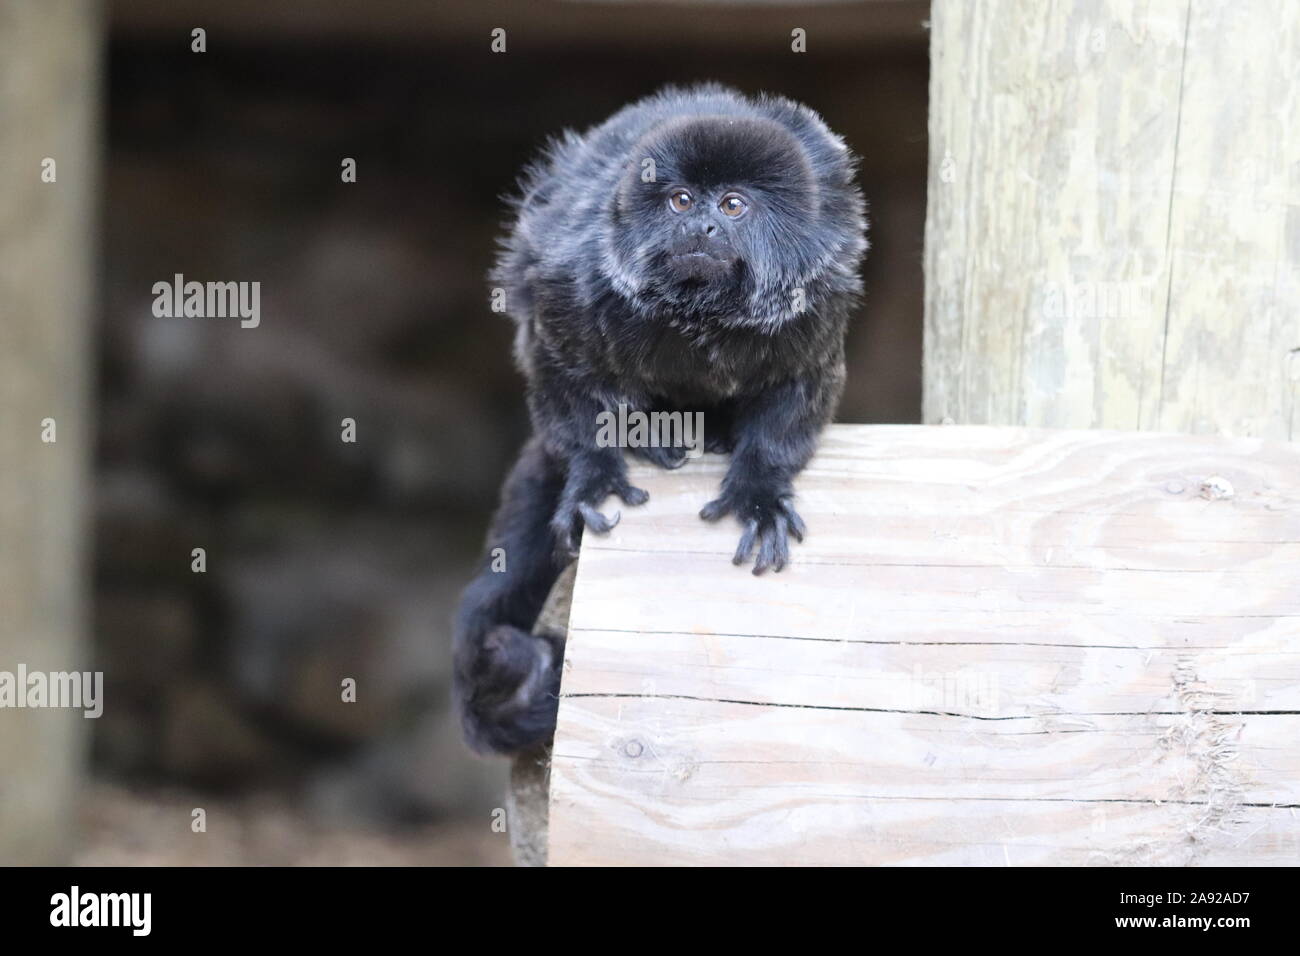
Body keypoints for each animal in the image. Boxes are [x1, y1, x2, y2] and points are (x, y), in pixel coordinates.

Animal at [453, 84, 868, 755]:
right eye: (680, 201)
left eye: (732, 206)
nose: (699, 226)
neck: (704, 312)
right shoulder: (574, 281)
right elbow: (558, 368)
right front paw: (594, 472)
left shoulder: (818, 299)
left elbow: (799, 393)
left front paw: (759, 489)